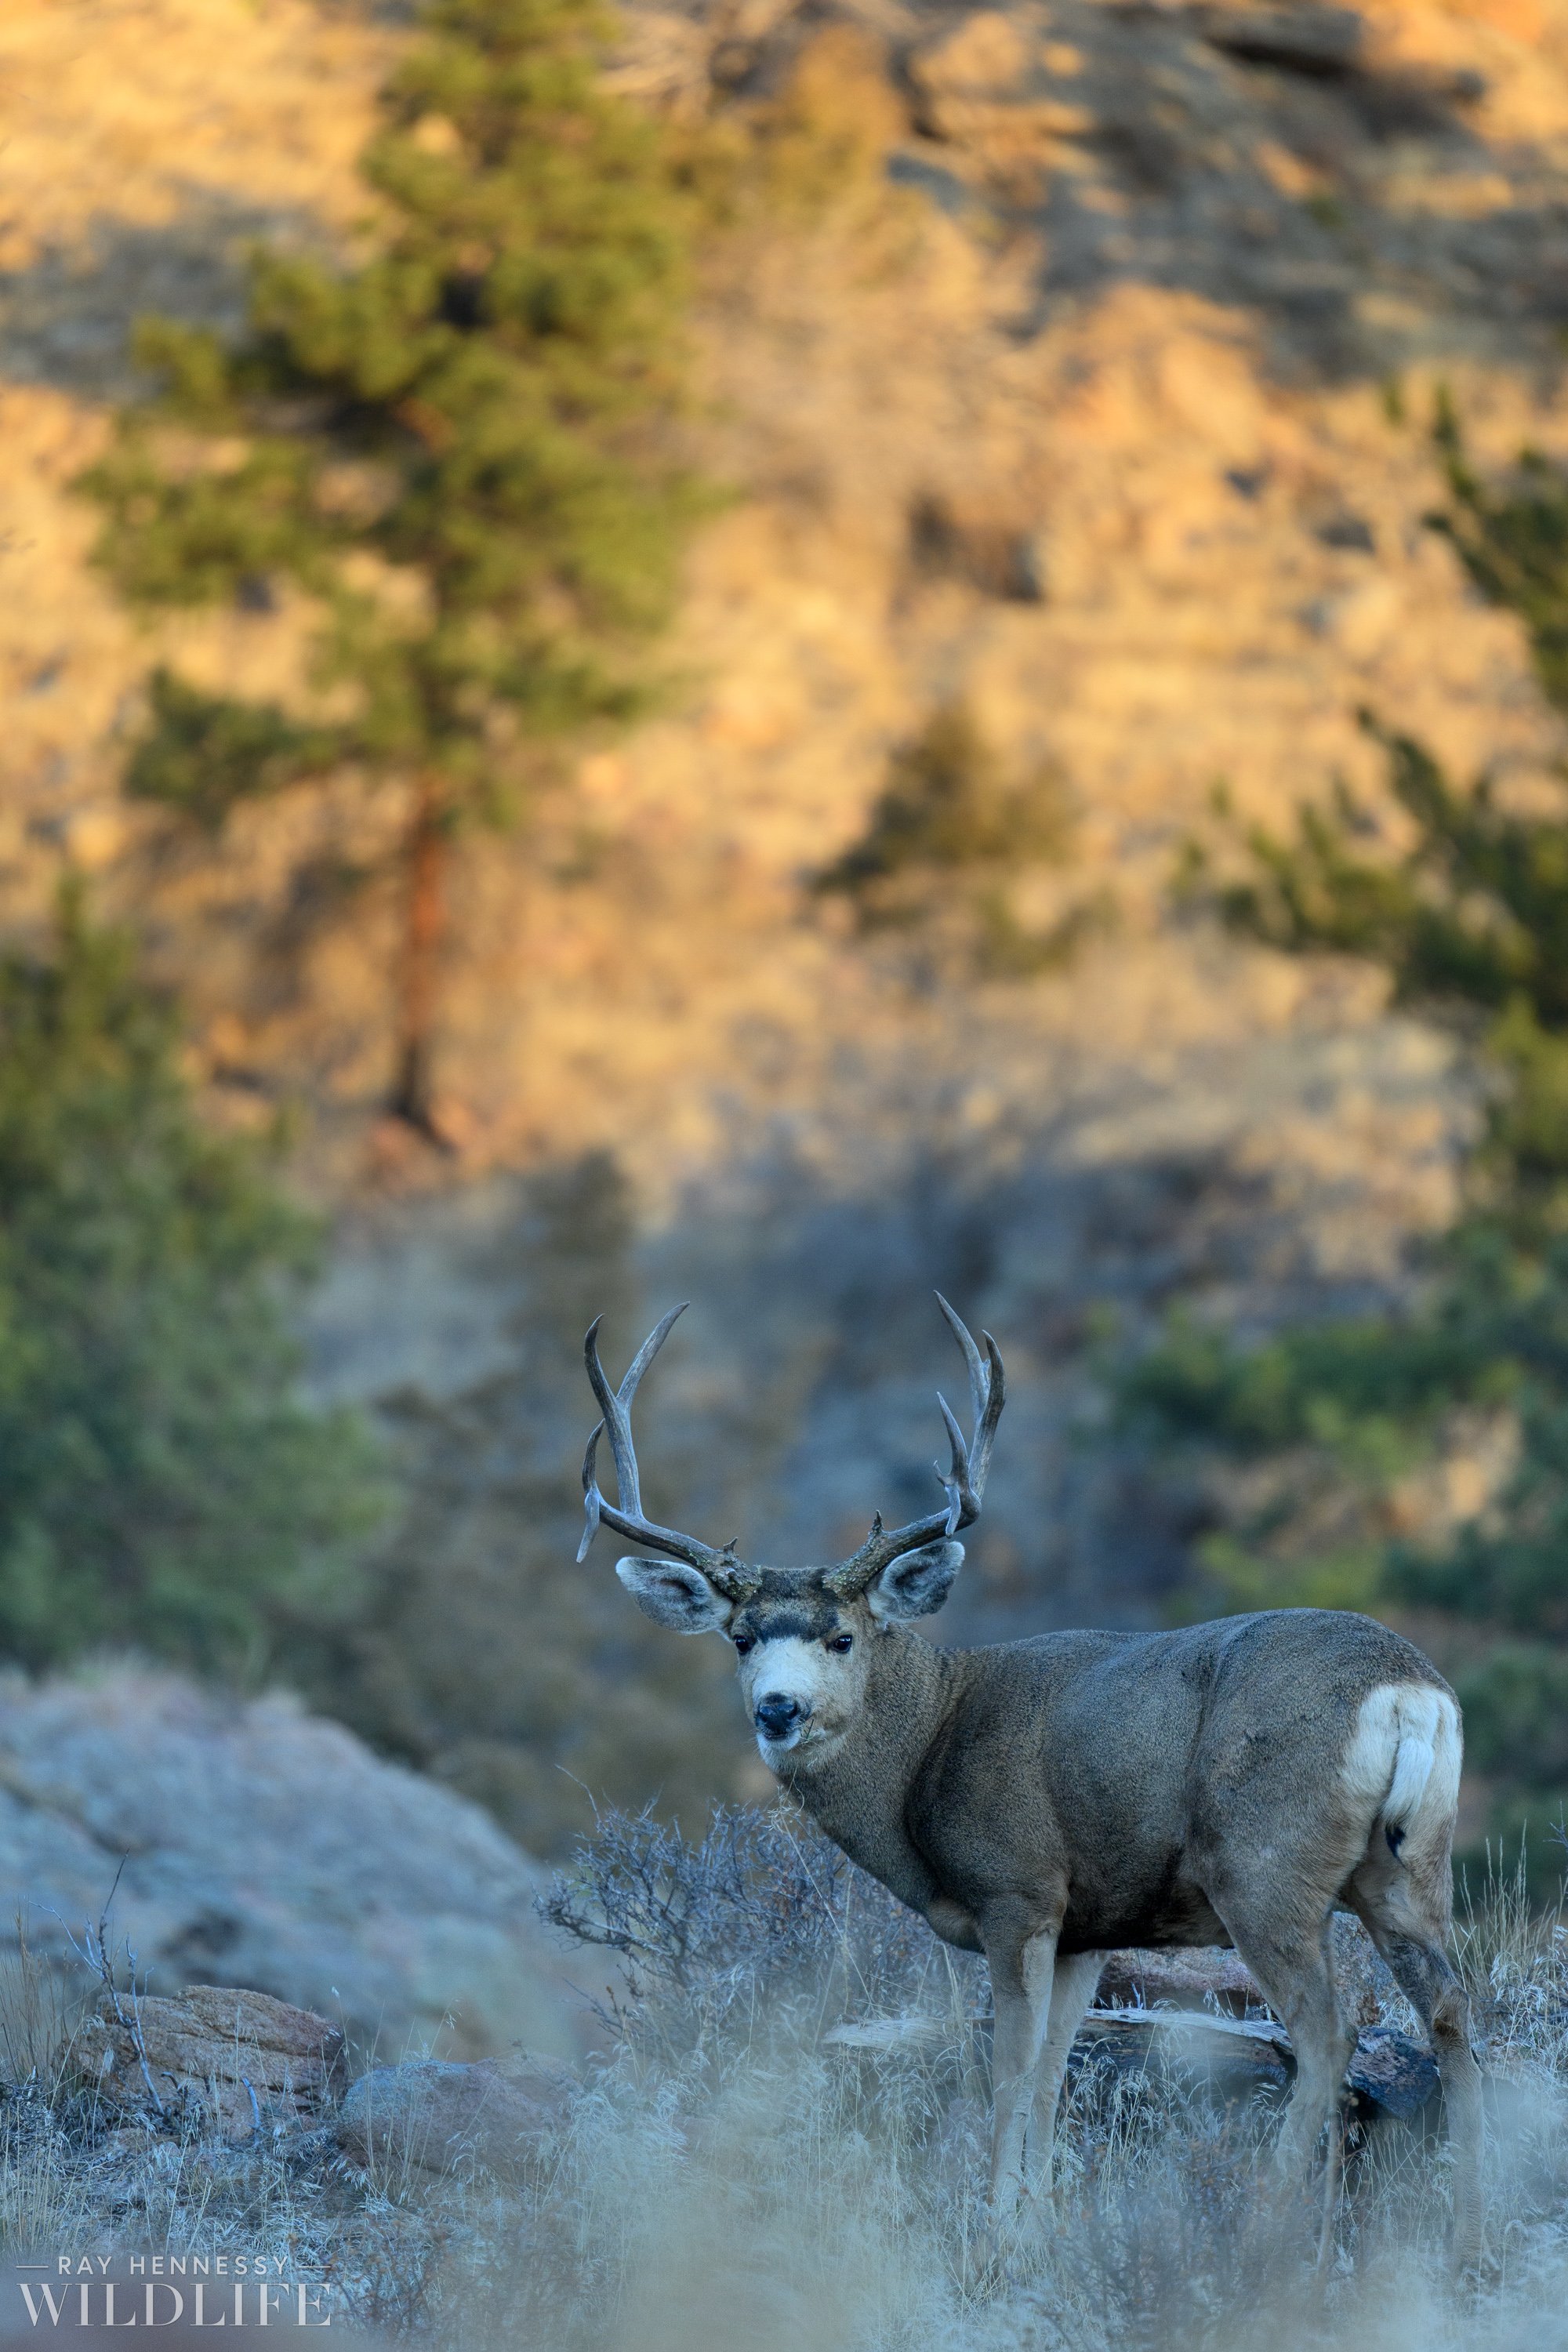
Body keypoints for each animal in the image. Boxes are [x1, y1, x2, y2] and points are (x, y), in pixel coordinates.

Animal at [575, 1296, 1484, 2270]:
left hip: (1264, 1865)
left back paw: (1265, 2223)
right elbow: (1052, 2069)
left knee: (1324, 2033)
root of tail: (1407, 1693)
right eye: (741, 1637)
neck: (928, 1746)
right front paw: (1037, 2221)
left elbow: (1007, 2070)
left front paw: (992, 2229)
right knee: (1450, 2011)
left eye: (841, 1637)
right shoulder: (1088, 1924)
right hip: (1410, 1864)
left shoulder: (1014, 1891)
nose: (778, 1709)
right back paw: (1471, 2222)